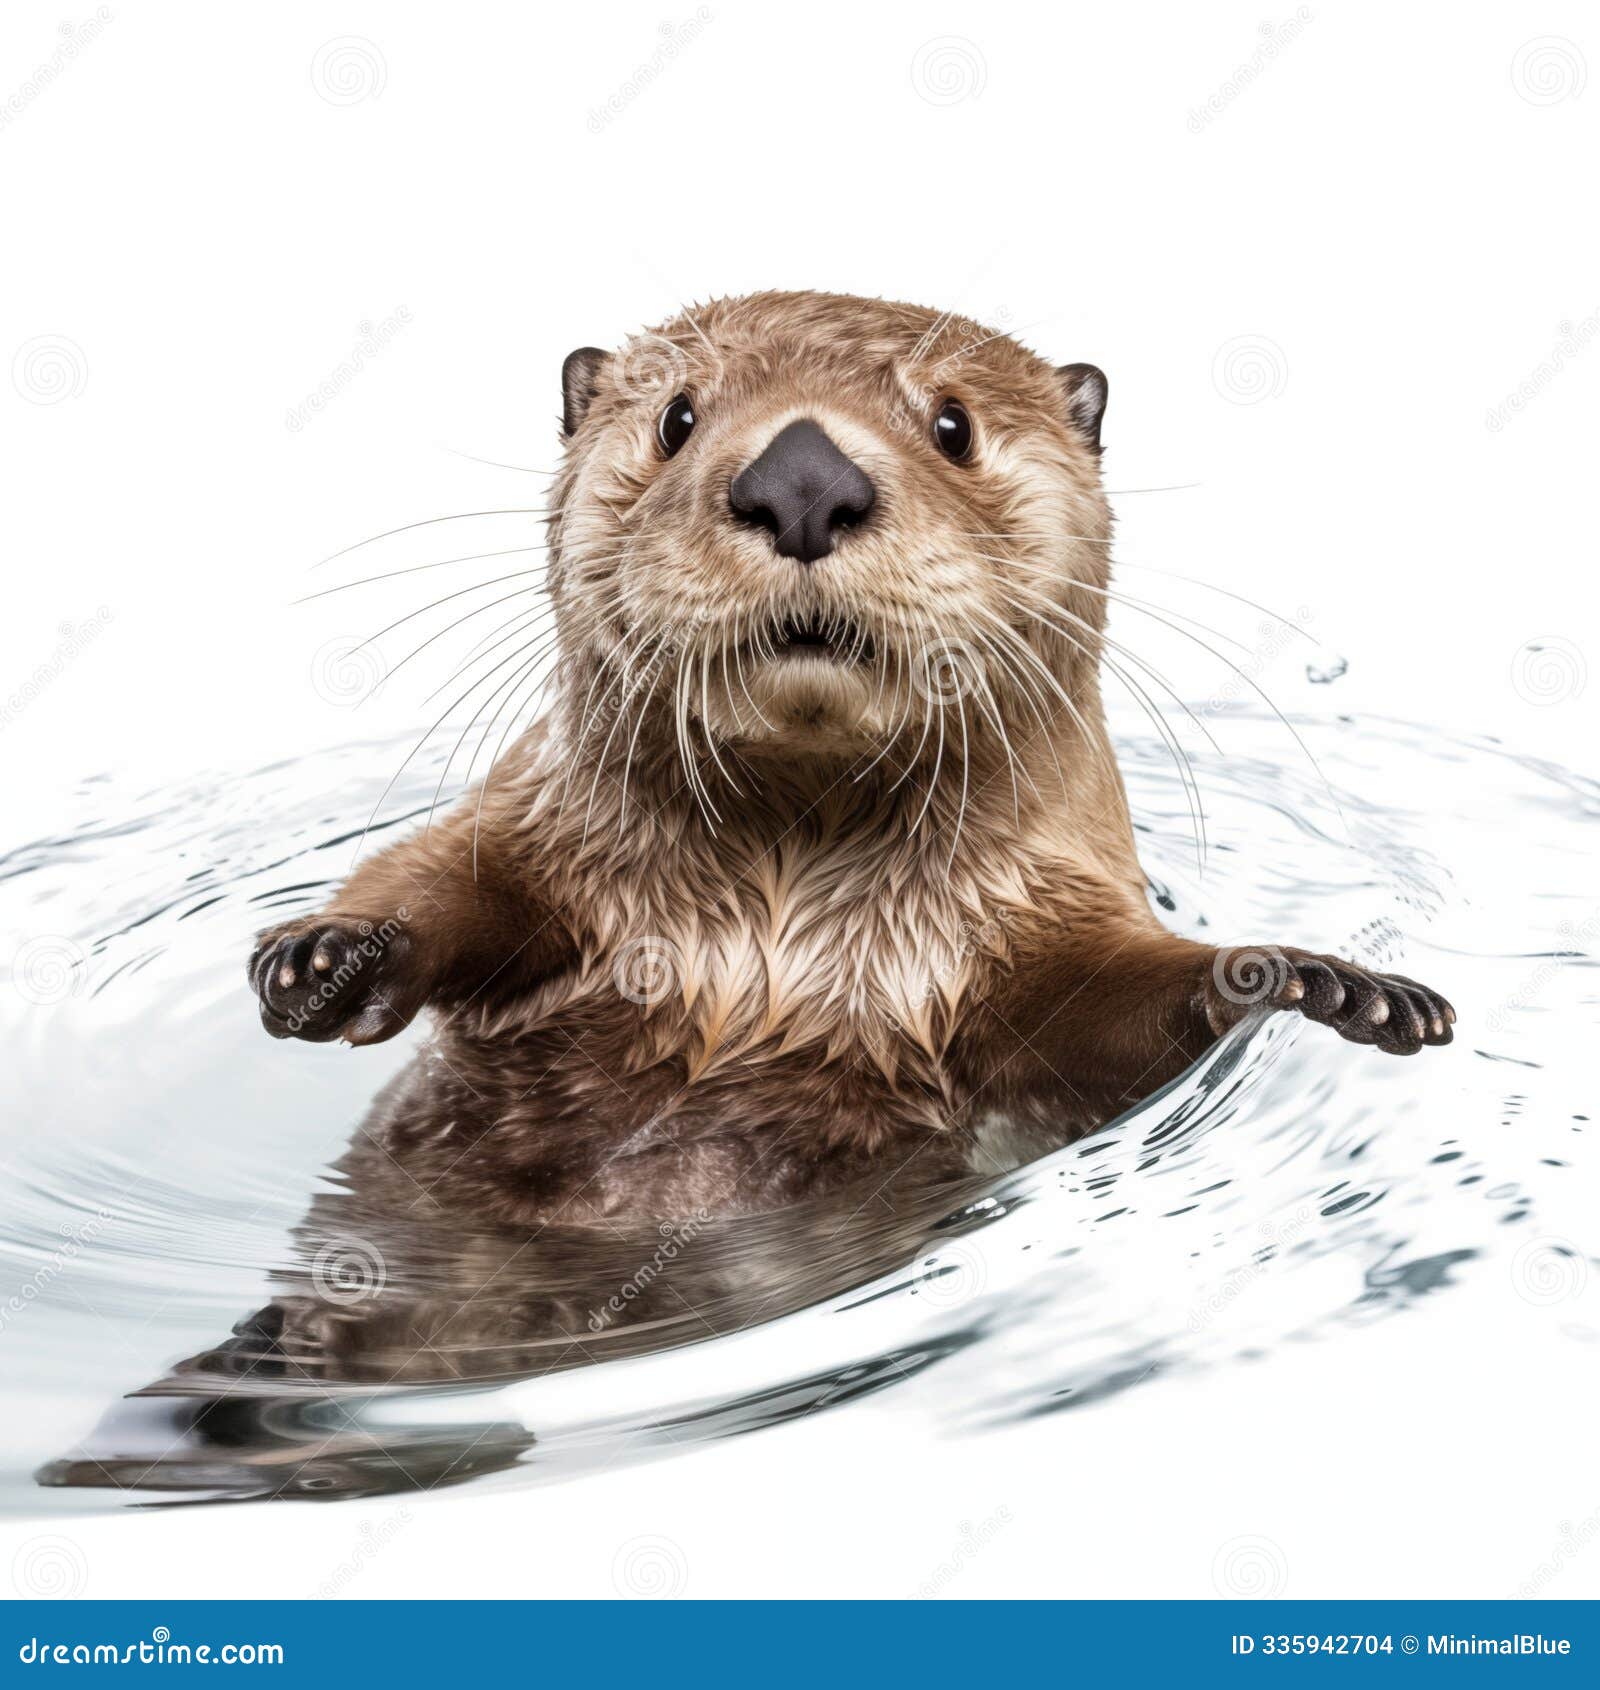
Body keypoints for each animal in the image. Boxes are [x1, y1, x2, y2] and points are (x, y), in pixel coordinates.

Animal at [249, 291, 1454, 1227]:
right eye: (677, 417)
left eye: (954, 424)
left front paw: (1322, 979)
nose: (800, 477)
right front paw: (323, 953)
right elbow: (453, 876)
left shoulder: (1036, 911)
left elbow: (1114, 1013)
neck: (770, 959)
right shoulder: (541, 821)